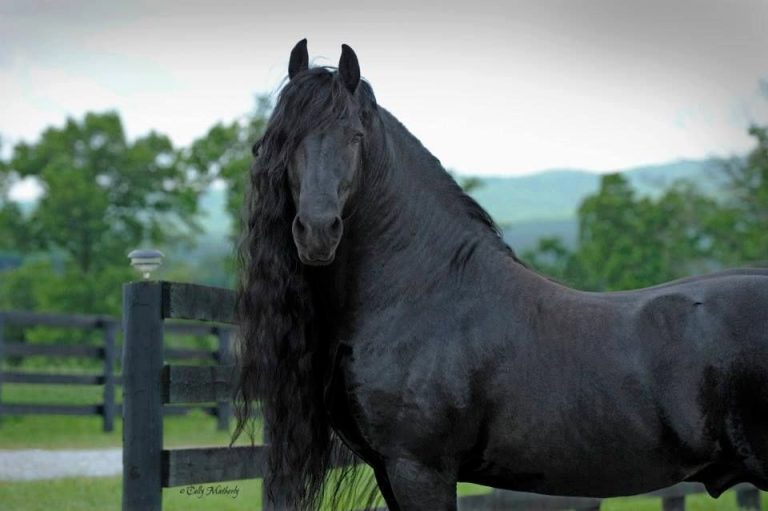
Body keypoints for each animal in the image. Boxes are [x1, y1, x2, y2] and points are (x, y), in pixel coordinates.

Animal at [234, 39, 768, 510]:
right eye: (281, 141)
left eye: (355, 137)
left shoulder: (419, 468)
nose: (317, 232)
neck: (421, 295)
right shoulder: (390, 469)